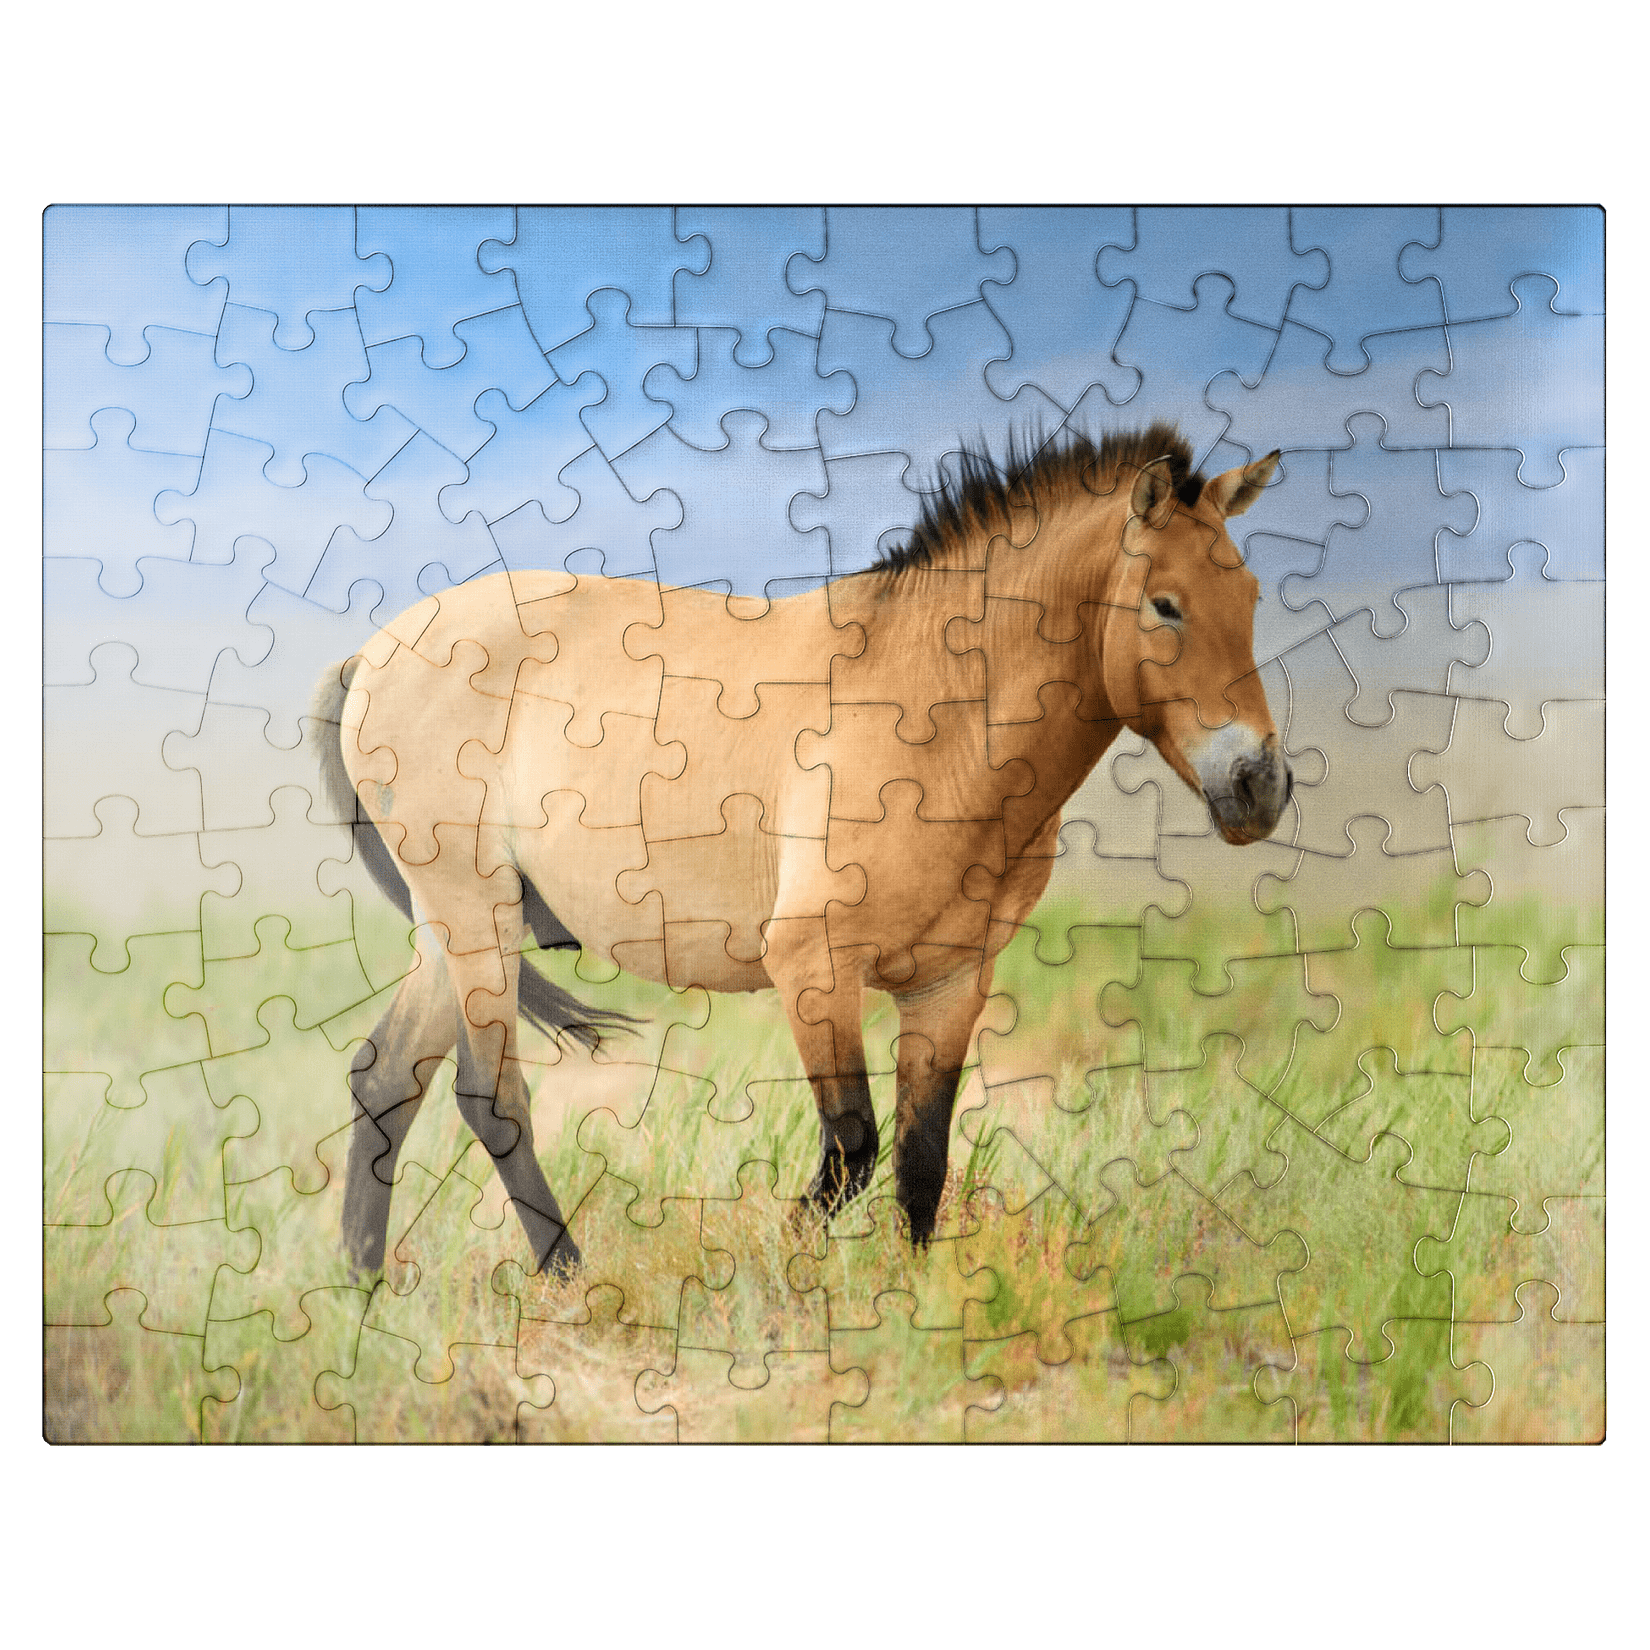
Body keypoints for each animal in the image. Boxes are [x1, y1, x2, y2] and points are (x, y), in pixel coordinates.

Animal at [312, 421, 1291, 1280]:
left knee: (383, 1081)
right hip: (473, 916)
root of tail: (372, 654)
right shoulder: (813, 965)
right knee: (492, 1096)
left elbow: (920, 1159)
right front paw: (766, 1275)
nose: (1260, 785)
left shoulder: (950, 981)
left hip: (459, 927)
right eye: (1164, 606)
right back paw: (564, 1277)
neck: (936, 708)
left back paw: (361, 1289)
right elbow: (853, 1148)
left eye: (1249, 598)